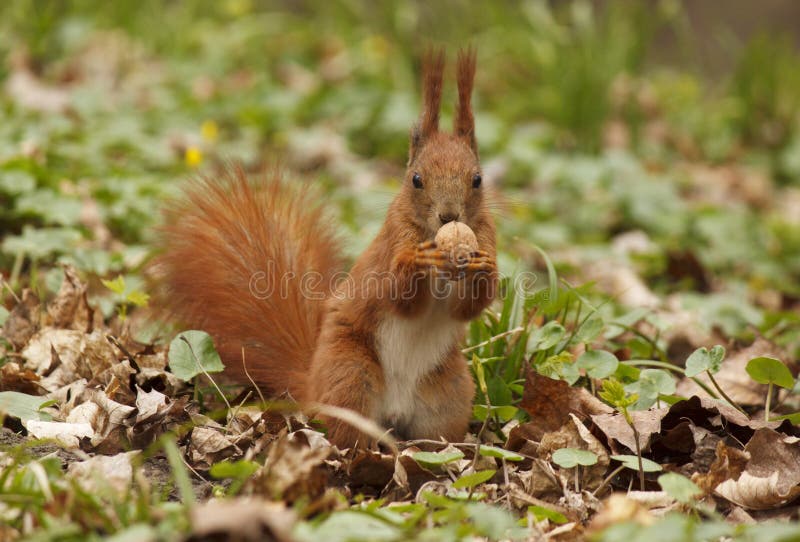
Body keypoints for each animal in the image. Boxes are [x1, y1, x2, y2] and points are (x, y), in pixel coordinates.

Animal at [154, 49, 498, 448]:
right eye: (416, 179)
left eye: (477, 179)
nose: (449, 216)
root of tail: (312, 385)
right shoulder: (392, 240)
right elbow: (399, 295)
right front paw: (416, 261)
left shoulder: (486, 233)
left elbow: (467, 307)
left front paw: (484, 266)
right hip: (350, 374)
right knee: (346, 428)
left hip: (448, 392)